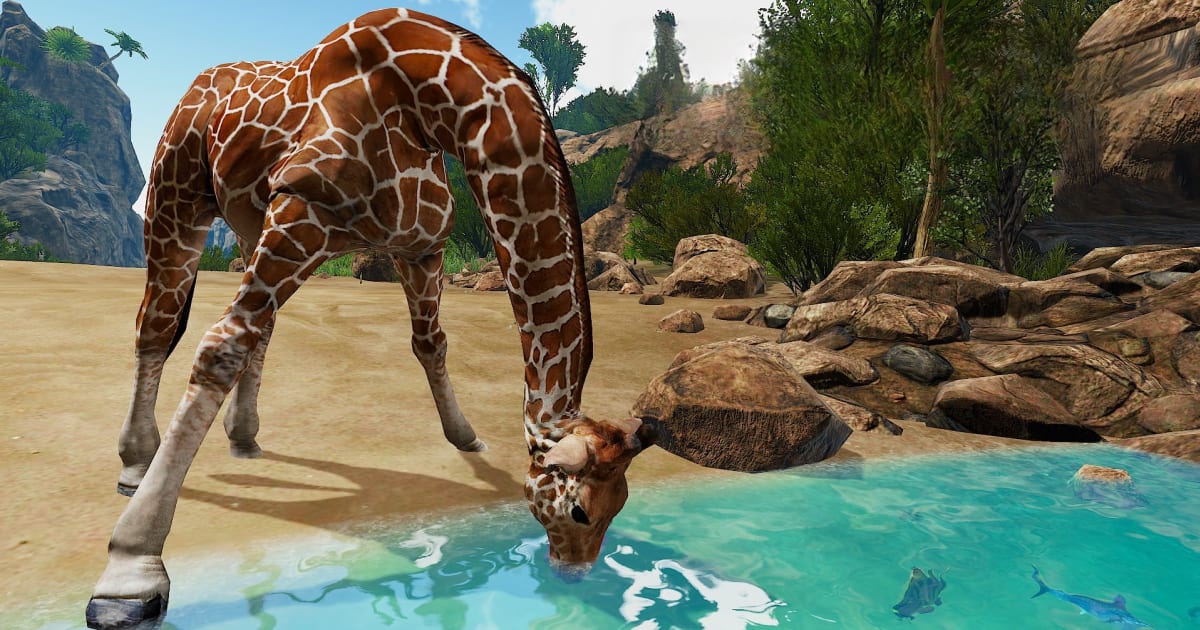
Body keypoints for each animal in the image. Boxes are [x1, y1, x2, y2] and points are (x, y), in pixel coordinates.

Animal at [85, 9, 655, 628]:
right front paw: (130, 572)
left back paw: (244, 438)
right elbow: (219, 346)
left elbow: (430, 341)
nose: (573, 572)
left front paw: (466, 437)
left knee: (260, 330)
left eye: (621, 506)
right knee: (159, 324)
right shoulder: (304, 207)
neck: (435, 110)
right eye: (579, 512)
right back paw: (135, 464)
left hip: (250, 219)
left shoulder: (420, 248)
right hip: (178, 199)